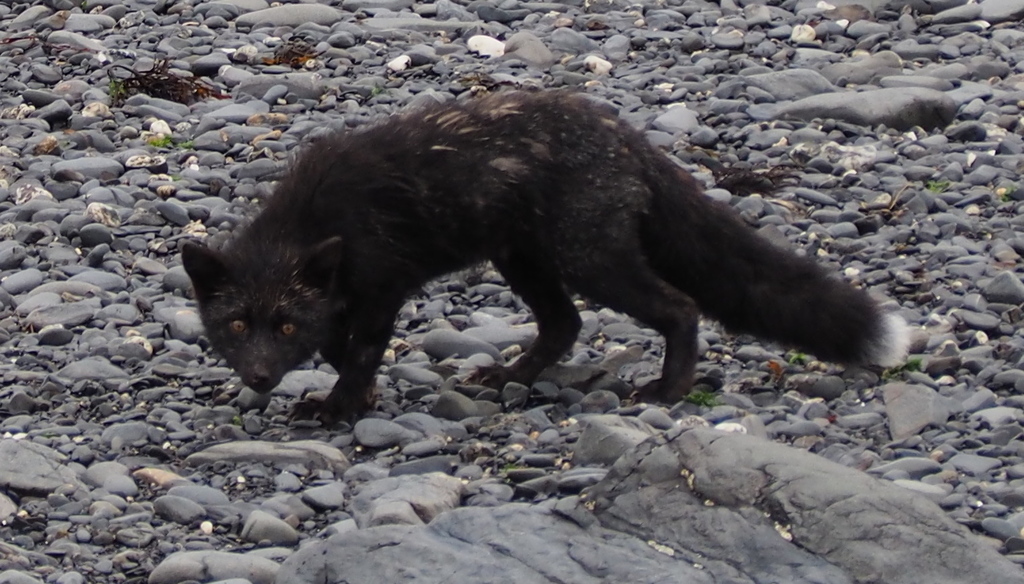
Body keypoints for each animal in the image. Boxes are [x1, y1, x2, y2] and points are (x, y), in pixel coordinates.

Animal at [181, 90, 910, 423]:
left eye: (285, 325)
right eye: (236, 325)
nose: (259, 377)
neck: (316, 217)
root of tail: (626, 134)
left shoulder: (384, 284)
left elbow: (358, 351)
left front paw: (339, 407)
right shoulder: (348, 290)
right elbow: (342, 347)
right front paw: (352, 393)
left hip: (590, 259)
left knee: (678, 306)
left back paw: (668, 389)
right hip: (523, 260)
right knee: (565, 324)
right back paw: (514, 375)